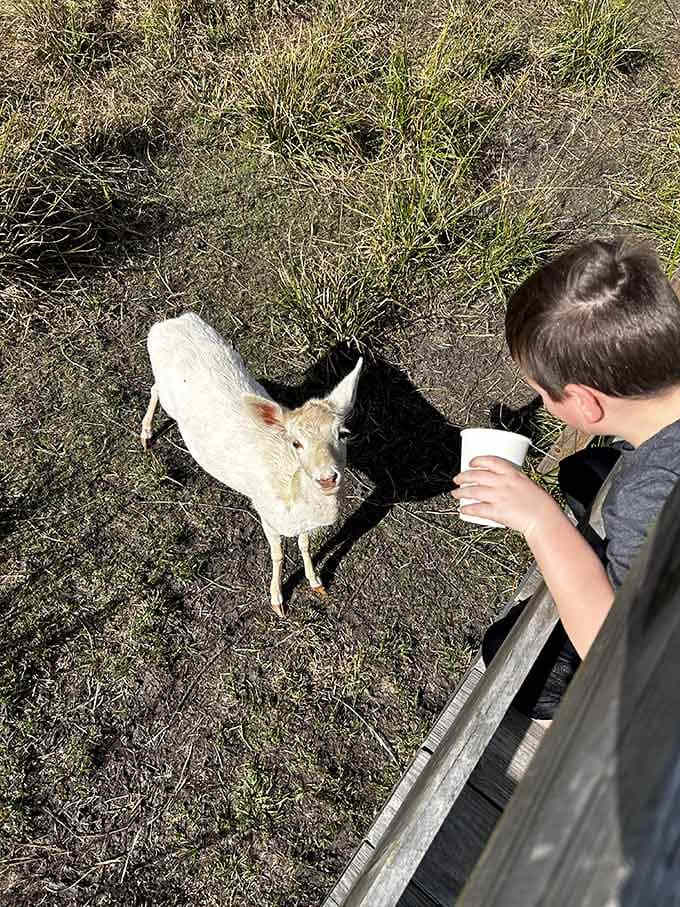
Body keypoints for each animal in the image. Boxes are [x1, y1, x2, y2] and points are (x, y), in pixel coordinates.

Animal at [140, 312, 363, 616]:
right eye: (296, 443)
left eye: (343, 433)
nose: (327, 478)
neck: (292, 497)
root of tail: (168, 322)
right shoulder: (265, 512)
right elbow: (278, 553)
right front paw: (277, 600)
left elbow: (305, 544)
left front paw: (317, 583)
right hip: (165, 389)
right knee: (153, 388)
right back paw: (146, 434)